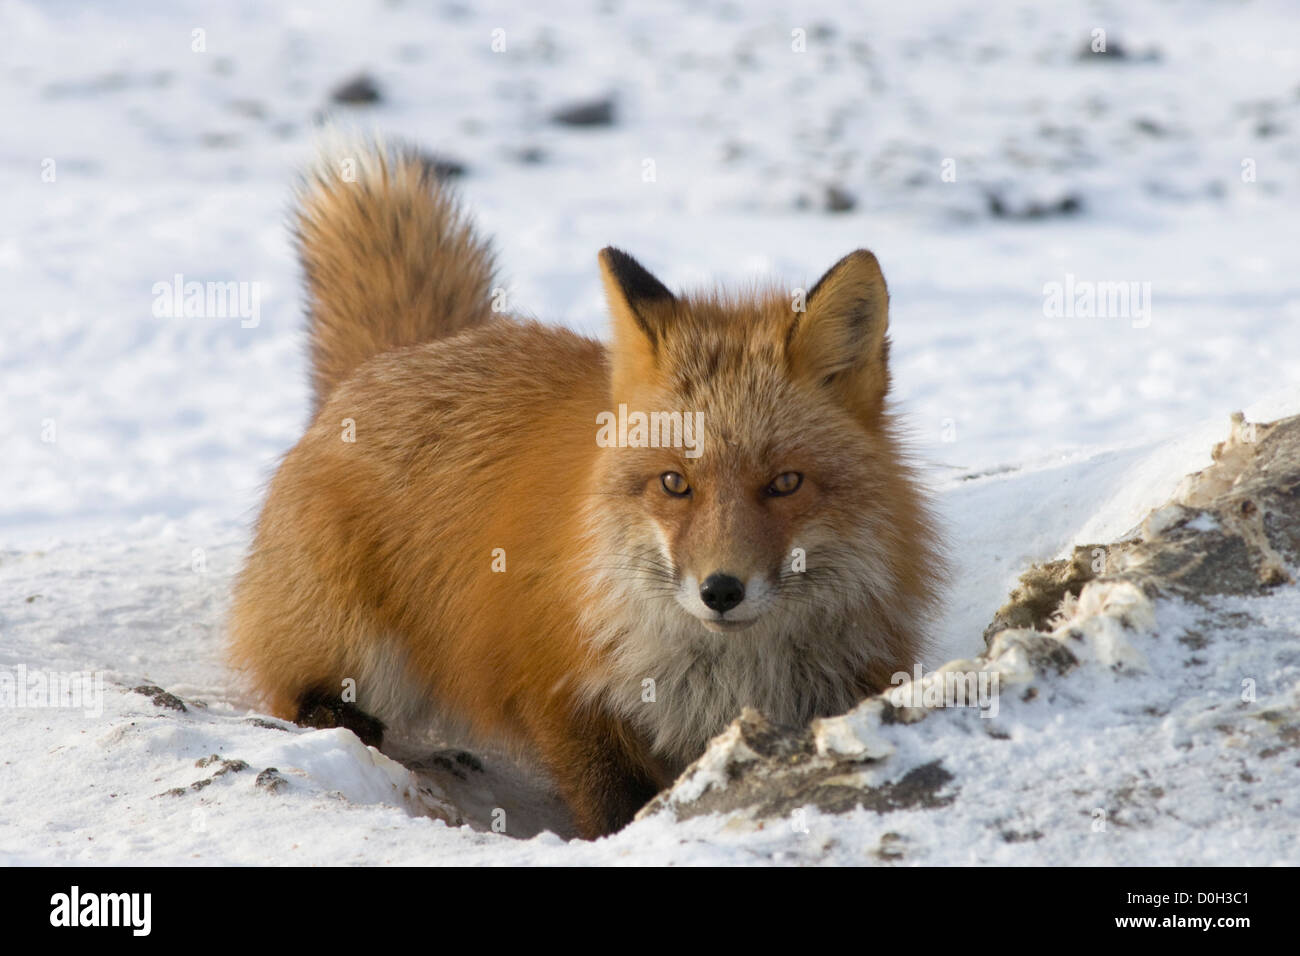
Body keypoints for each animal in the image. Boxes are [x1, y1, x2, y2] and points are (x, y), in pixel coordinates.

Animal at [229, 139, 942, 838]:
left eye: (786, 483)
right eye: (674, 483)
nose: (721, 590)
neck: (720, 676)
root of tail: (403, 356)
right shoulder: (565, 693)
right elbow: (608, 804)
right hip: (355, 641)